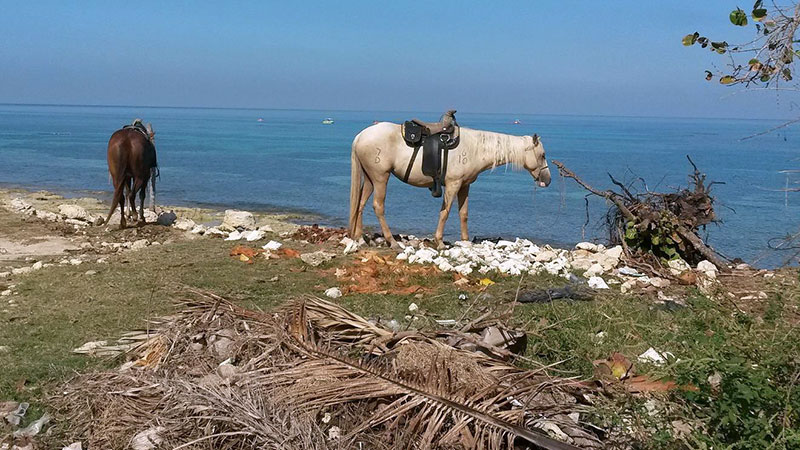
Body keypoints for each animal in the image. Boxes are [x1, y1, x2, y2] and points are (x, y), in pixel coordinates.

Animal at [348, 122, 551, 248]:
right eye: (542, 155)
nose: (548, 180)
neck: (475, 148)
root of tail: (360, 136)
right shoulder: (453, 184)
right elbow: (445, 213)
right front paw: (439, 241)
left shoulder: (465, 186)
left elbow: (463, 214)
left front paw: (465, 241)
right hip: (380, 178)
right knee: (378, 206)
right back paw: (392, 241)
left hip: (370, 179)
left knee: (360, 204)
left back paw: (359, 238)